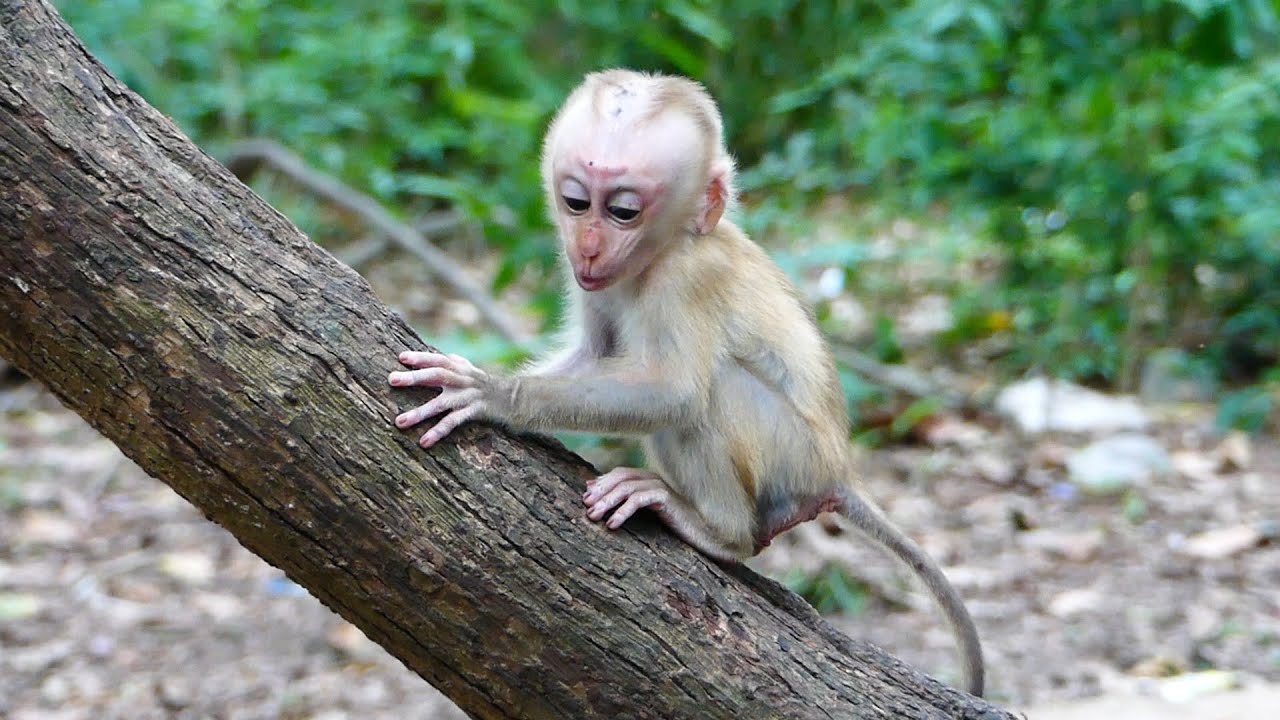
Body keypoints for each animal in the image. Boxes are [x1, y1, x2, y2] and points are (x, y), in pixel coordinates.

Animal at [388, 69, 984, 696]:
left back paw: (719, 531)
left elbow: (672, 393)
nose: (589, 246)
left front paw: (495, 396)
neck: (660, 255)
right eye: (576, 202)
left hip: (792, 453)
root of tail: (838, 470)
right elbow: (597, 353)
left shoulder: (687, 279)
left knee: (709, 394)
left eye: (623, 211)